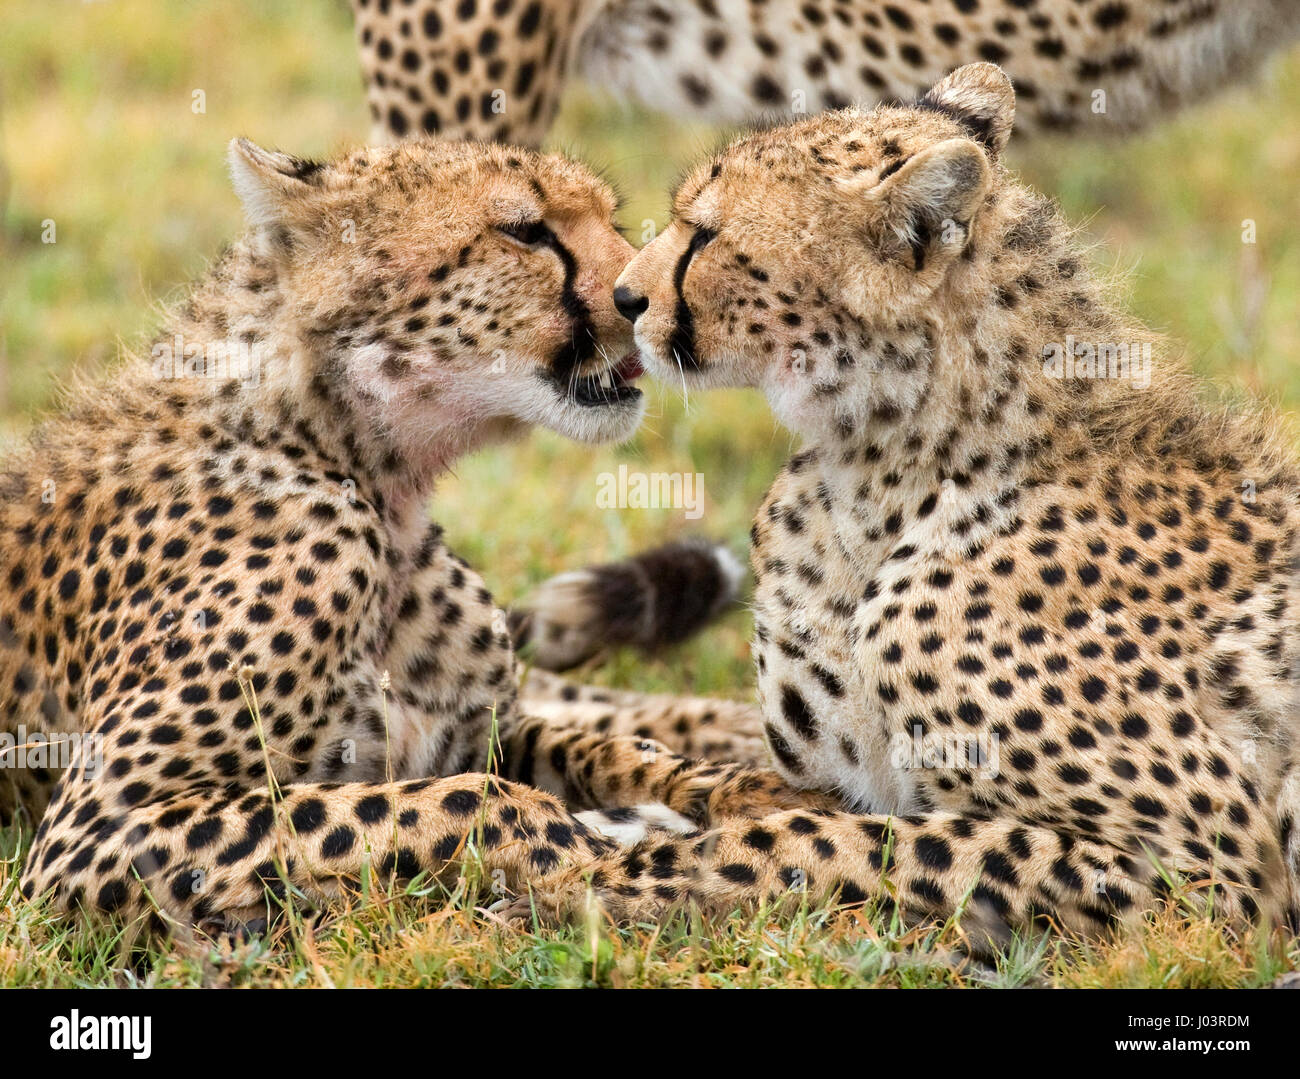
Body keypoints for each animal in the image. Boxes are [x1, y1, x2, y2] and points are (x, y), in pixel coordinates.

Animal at [2, 135, 817, 936]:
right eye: (526, 232)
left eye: (611, 217)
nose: (639, 298)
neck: (367, 476)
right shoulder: (86, 834)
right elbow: (471, 797)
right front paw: (616, 853)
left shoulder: (477, 729)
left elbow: (600, 746)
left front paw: (749, 792)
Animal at [505, 63, 1300, 948]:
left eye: (704, 236)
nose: (623, 298)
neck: (876, 467)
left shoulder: (1214, 875)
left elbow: (836, 835)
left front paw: (605, 874)